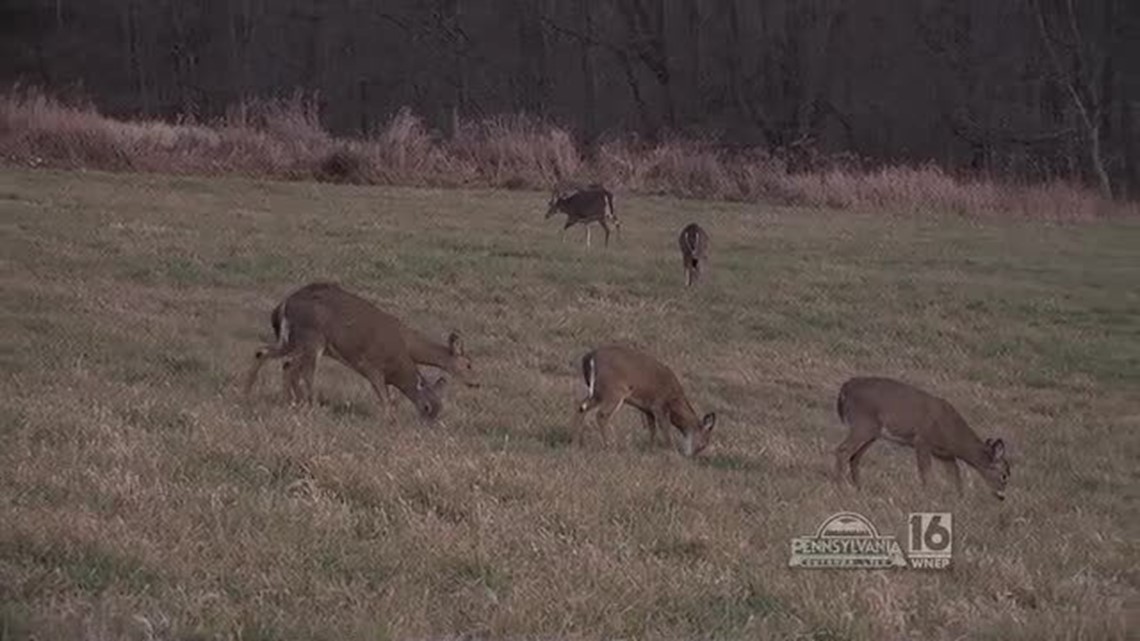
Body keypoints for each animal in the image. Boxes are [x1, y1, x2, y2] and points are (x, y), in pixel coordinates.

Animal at [242, 282, 447, 422]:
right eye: (427, 407)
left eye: (440, 409)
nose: (428, 425)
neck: (395, 365)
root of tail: (284, 304)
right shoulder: (370, 365)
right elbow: (384, 394)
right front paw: (389, 418)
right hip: (312, 340)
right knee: (299, 369)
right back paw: (307, 405)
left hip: (289, 341)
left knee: (264, 353)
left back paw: (251, 395)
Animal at [573, 344, 717, 457]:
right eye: (704, 444)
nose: (690, 456)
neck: (674, 399)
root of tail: (590, 357)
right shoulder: (659, 404)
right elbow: (665, 429)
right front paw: (672, 451)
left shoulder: (647, 408)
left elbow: (652, 429)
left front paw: (650, 450)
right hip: (613, 391)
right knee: (601, 415)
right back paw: (609, 446)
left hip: (598, 393)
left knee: (581, 407)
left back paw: (577, 442)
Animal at [834, 376, 1011, 500]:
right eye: (1004, 475)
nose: (1002, 496)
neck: (952, 436)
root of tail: (846, 387)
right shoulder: (922, 440)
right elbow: (926, 473)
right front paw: (928, 497)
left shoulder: (945, 454)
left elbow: (955, 476)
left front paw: (959, 501)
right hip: (864, 424)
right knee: (842, 450)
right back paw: (842, 489)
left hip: (873, 432)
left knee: (855, 457)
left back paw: (859, 489)